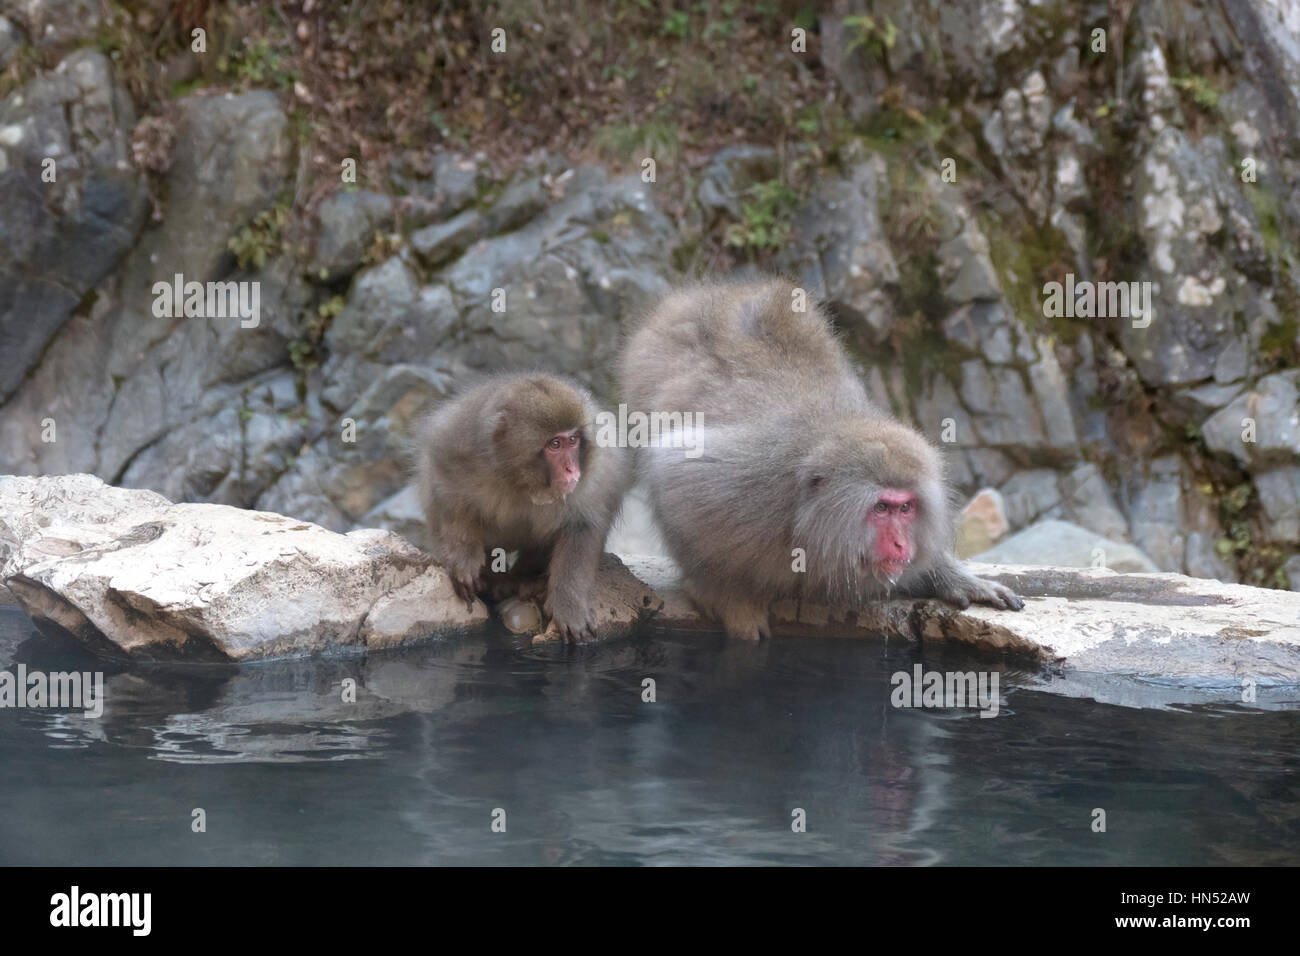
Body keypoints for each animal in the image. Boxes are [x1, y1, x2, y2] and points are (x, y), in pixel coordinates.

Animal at [416, 373, 628, 642]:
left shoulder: (594, 479)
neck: (522, 481)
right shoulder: (457, 445)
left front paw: (569, 605)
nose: (572, 470)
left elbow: (583, 527)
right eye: (555, 444)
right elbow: (446, 492)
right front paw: (463, 558)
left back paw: (526, 579)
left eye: (573, 440)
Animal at [618, 278, 1024, 640]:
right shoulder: (742, 488)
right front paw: (722, 591)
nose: (900, 545)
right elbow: (673, 475)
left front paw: (950, 578)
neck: (805, 522)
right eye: (882, 508)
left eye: (906, 508)